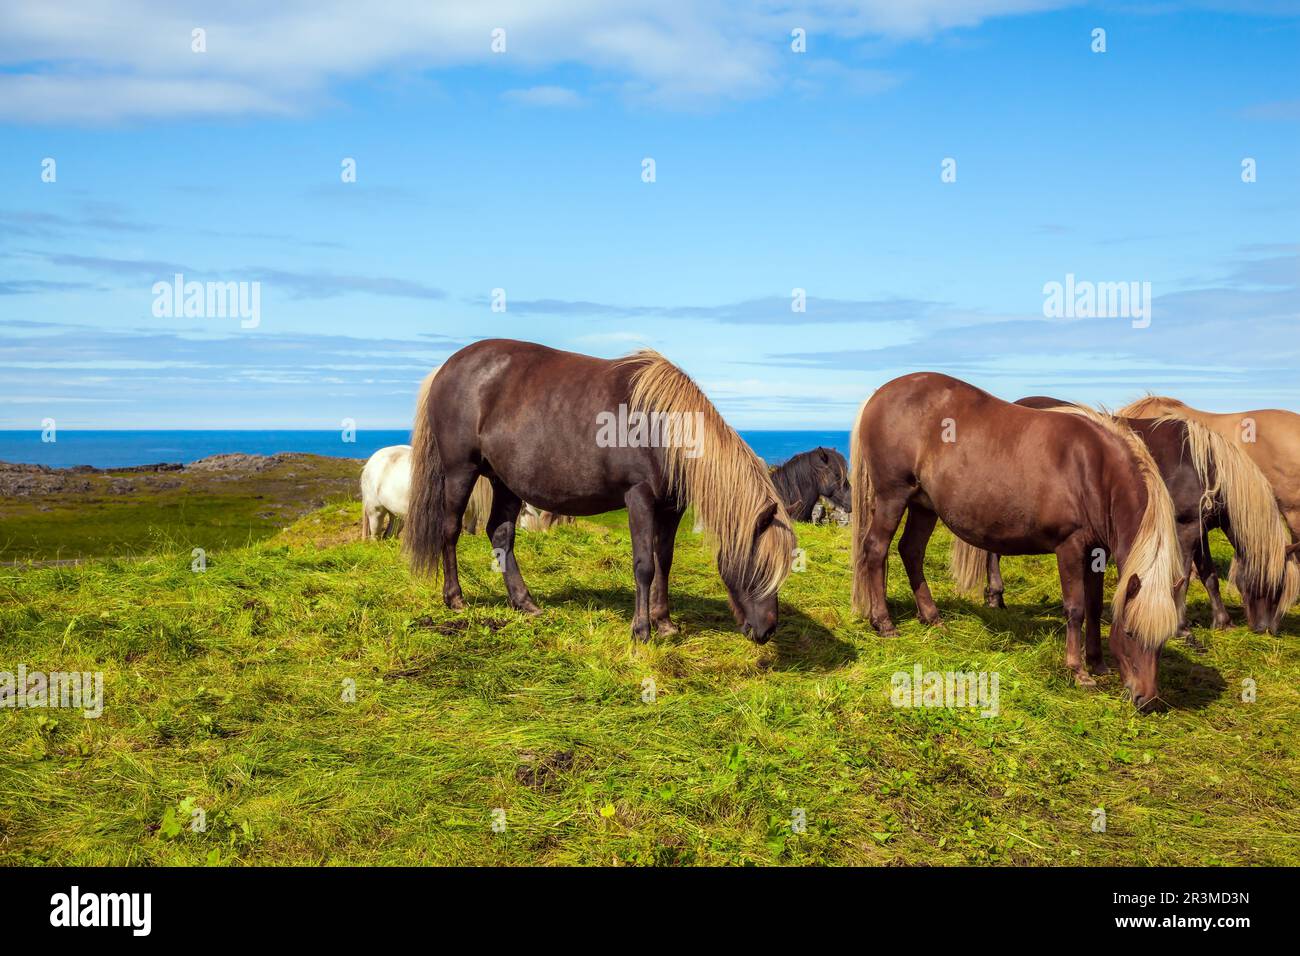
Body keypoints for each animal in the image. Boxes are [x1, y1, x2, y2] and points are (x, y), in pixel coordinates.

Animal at [404, 339, 797, 641]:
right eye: (760, 566)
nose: (766, 631)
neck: (661, 426)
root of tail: (445, 368)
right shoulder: (639, 497)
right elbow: (644, 565)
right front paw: (642, 630)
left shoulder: (670, 508)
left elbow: (664, 561)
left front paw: (665, 623)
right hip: (461, 471)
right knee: (449, 530)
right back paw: (455, 598)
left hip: (505, 481)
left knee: (500, 535)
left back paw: (525, 602)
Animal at [850, 373, 1184, 709]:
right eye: (1129, 633)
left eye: (1163, 640)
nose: (1147, 700)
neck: (1095, 468)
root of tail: (879, 395)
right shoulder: (1070, 547)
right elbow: (1075, 608)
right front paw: (1078, 671)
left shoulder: (1096, 552)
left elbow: (1093, 605)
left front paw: (1097, 663)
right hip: (893, 496)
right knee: (876, 550)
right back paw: (884, 623)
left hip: (923, 505)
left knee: (911, 551)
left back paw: (932, 618)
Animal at [952, 397, 1299, 636]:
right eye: (1277, 583)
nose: (1266, 629)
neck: (1204, 466)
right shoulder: (1184, 528)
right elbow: (1185, 576)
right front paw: (1182, 626)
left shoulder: (1198, 529)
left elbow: (1209, 575)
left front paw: (1222, 621)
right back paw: (996, 596)